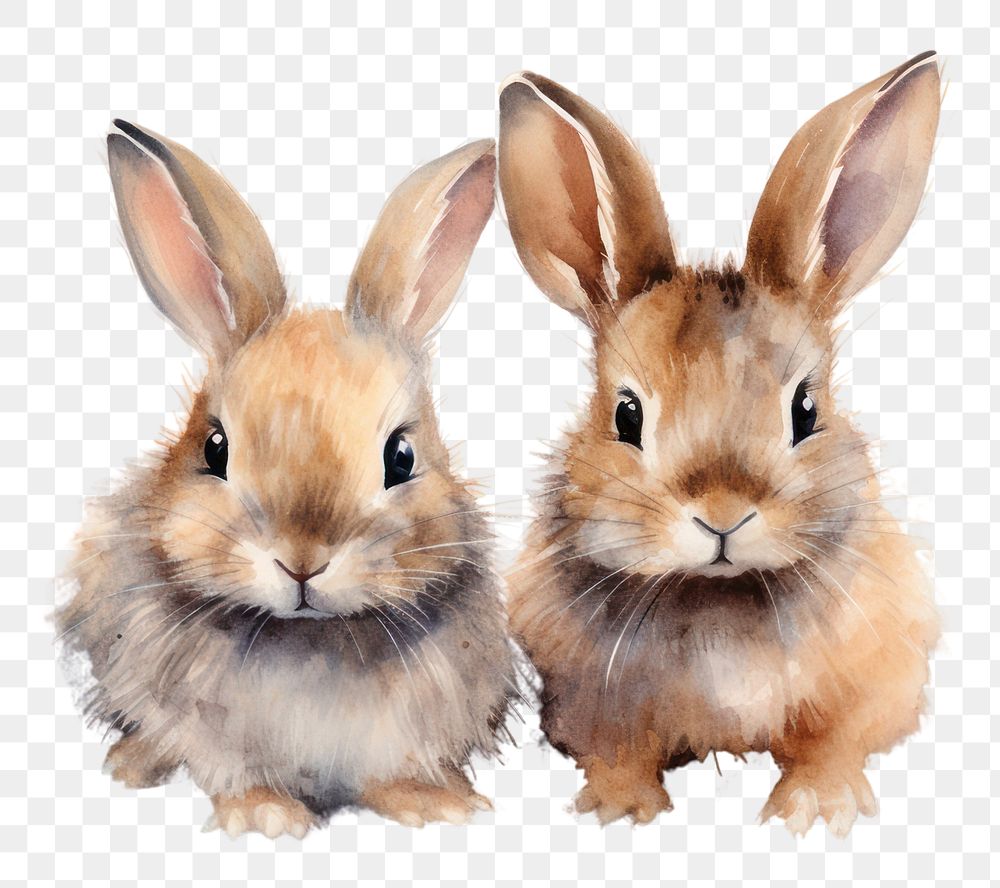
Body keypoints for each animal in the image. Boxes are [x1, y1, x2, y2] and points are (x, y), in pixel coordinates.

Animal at [55, 120, 515, 837]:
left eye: (402, 457)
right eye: (215, 448)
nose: (302, 562)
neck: (310, 637)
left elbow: (398, 771)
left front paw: (437, 806)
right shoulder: (206, 729)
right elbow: (231, 770)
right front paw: (266, 818)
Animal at [498, 53, 941, 836]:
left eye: (805, 409)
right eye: (626, 416)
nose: (722, 515)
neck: (717, 594)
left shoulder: (869, 680)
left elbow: (833, 743)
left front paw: (815, 810)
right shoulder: (591, 701)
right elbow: (618, 751)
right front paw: (619, 810)